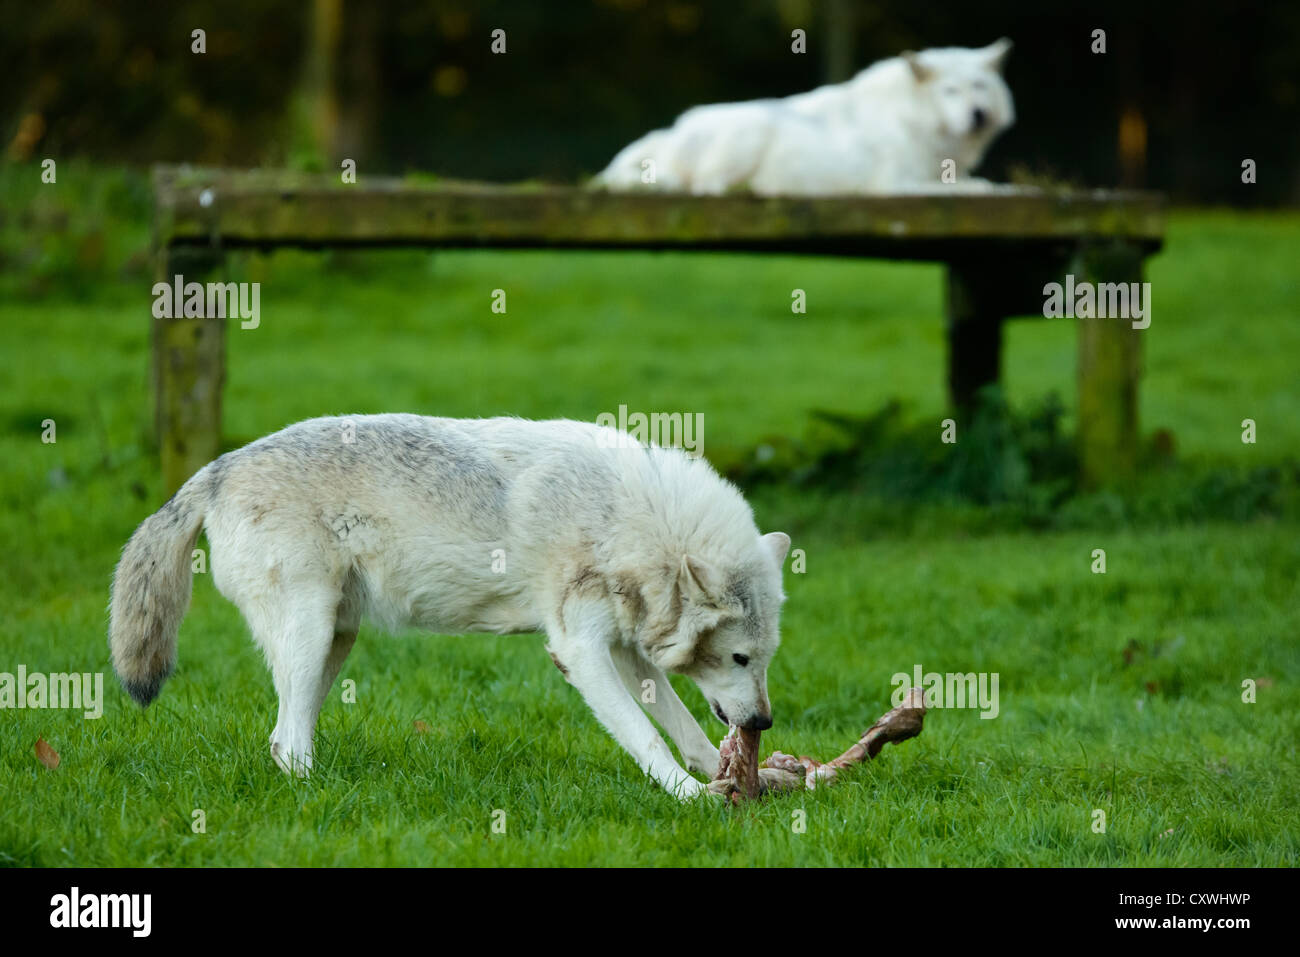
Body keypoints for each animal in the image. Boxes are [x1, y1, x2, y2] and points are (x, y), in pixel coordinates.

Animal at [109, 415, 791, 800]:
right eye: (739, 657)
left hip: (334, 640)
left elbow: (684, 728)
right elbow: (646, 739)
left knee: (282, 738)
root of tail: (216, 470)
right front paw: (692, 798)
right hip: (310, 637)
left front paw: (730, 775)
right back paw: (324, 804)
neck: (628, 521)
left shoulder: (627, 650)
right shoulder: (578, 653)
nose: (764, 722)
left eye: (764, 660)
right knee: (286, 742)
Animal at [596, 39, 1014, 195]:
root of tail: (672, 128)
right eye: (950, 91)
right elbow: (976, 188)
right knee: (703, 187)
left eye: (979, 86)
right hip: (750, 131)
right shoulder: (893, 185)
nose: (978, 114)